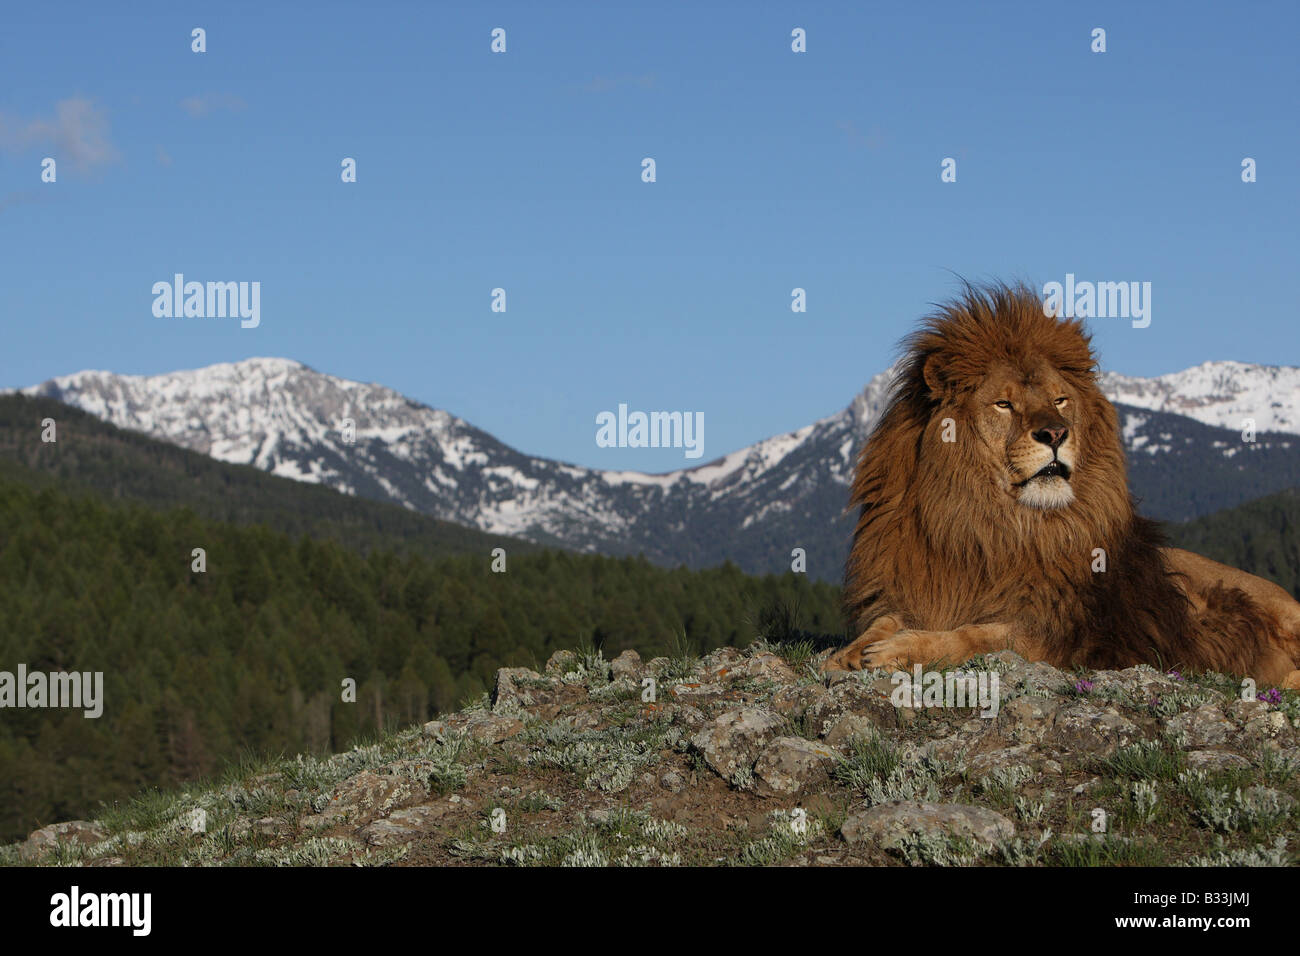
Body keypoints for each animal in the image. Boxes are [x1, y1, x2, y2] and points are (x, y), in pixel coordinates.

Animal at [825, 282, 1300, 690]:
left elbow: (972, 636)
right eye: (1003, 403)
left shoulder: (1053, 634)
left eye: (1059, 399)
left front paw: (898, 651)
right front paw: (847, 653)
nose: (1055, 433)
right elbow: (883, 621)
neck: (983, 523)